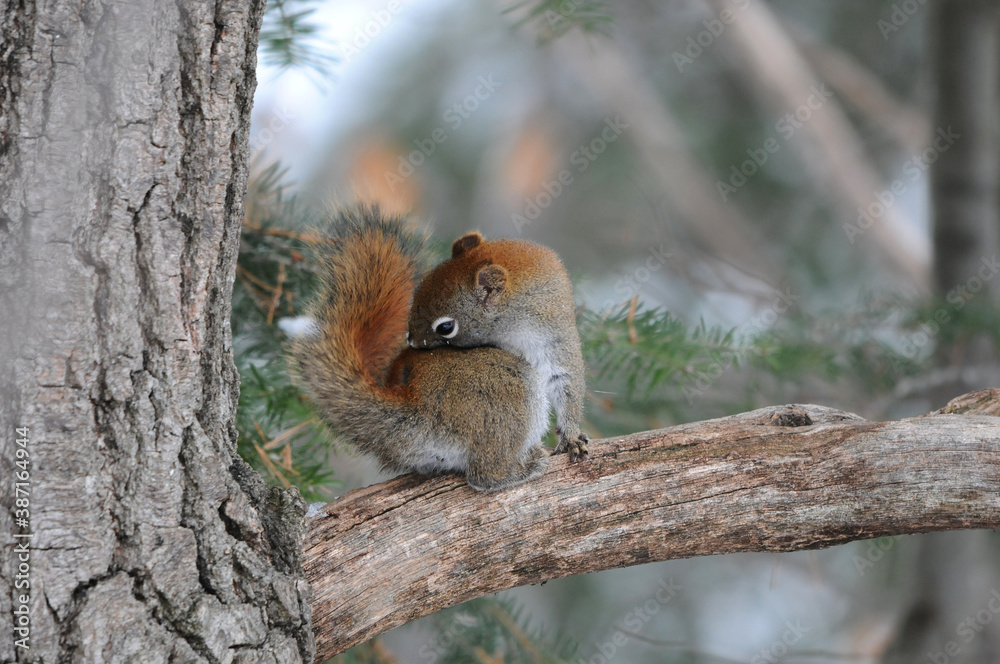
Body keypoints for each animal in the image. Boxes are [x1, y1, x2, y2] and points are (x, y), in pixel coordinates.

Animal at [408, 231, 589, 461]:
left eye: (446, 327)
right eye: (417, 293)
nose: (411, 341)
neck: (511, 324)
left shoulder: (554, 339)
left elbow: (566, 385)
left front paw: (571, 437)